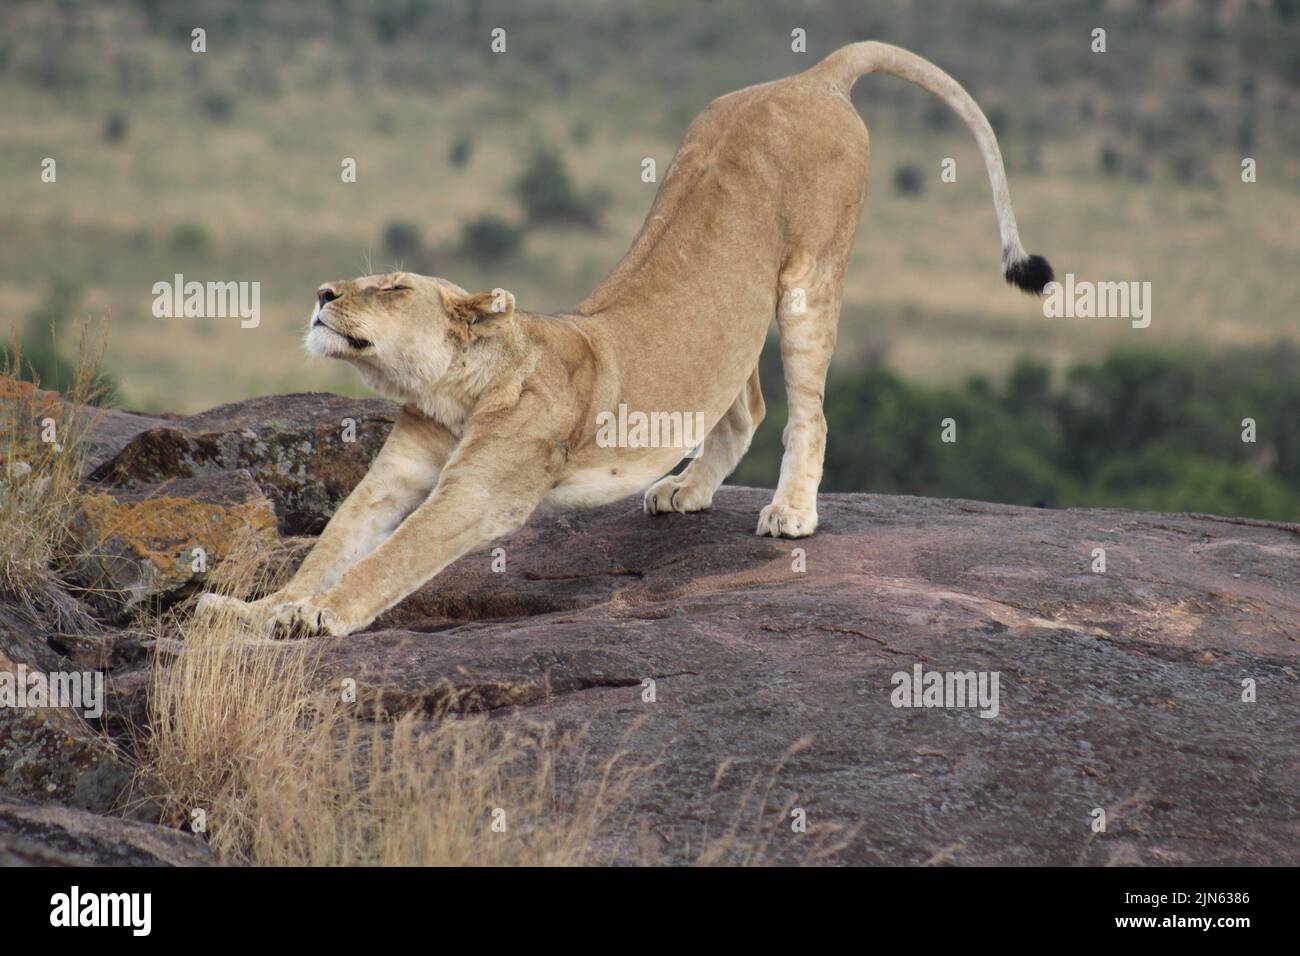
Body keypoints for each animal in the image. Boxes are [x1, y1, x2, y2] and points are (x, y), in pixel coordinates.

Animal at [198, 41, 1053, 637]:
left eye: (394, 288)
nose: (323, 294)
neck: (449, 392)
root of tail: (811, 76)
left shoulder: (481, 491)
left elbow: (388, 561)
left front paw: (313, 616)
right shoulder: (397, 473)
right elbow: (336, 542)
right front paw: (259, 608)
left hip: (811, 280)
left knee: (807, 410)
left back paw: (790, 512)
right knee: (741, 399)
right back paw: (684, 490)